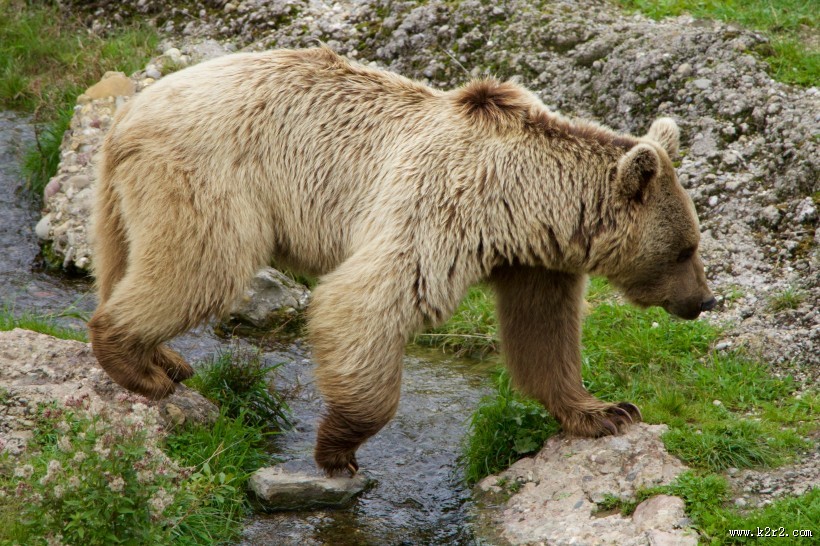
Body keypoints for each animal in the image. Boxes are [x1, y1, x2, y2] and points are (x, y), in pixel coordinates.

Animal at [88, 47, 715, 476]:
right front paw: (338, 448)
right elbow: (365, 304)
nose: (705, 300)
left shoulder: (535, 262)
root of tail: (129, 112)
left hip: (122, 198)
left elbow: (544, 331)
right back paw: (137, 364)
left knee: (125, 261)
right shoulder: (443, 207)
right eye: (686, 248)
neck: (522, 204)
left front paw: (605, 410)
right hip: (209, 175)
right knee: (203, 266)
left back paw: (162, 357)